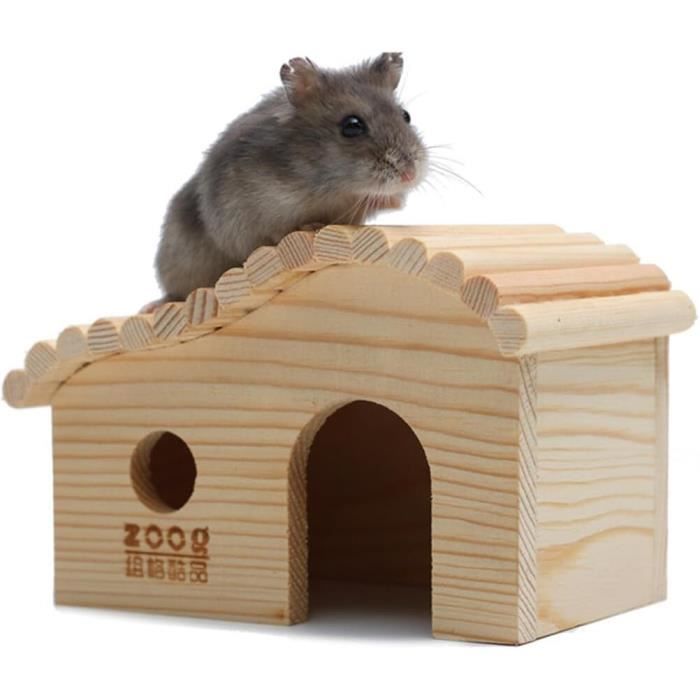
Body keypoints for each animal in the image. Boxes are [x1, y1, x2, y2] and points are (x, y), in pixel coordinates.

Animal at [152, 53, 428, 303]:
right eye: (352, 125)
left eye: (406, 116)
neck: (327, 187)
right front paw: (311, 226)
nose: (409, 174)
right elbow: (275, 232)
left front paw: (394, 202)